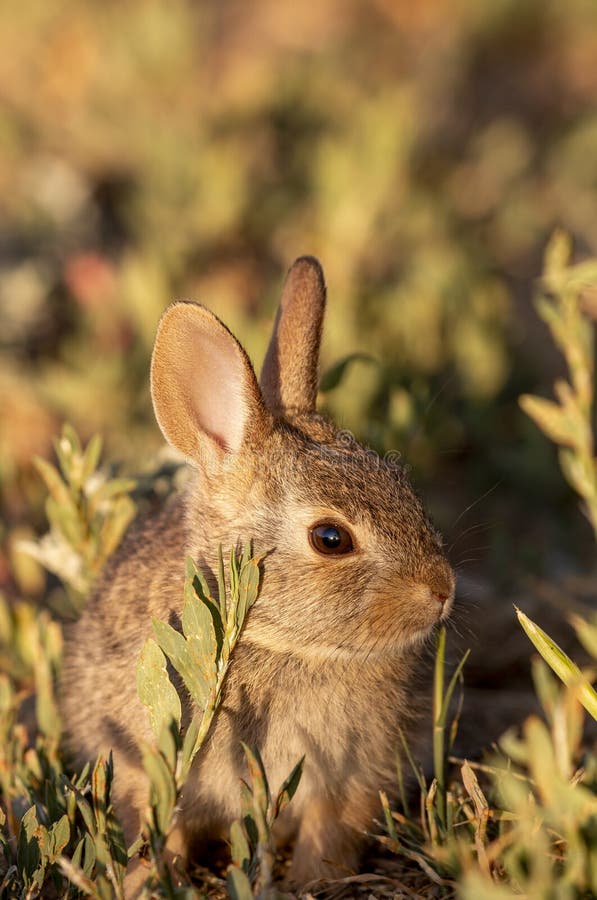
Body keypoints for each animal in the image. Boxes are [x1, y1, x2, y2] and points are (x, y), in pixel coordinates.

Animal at [59, 256, 455, 893]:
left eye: (402, 482)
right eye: (331, 539)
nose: (443, 590)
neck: (282, 642)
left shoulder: (352, 773)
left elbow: (331, 830)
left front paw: (315, 883)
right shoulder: (151, 762)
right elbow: (160, 821)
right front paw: (149, 881)